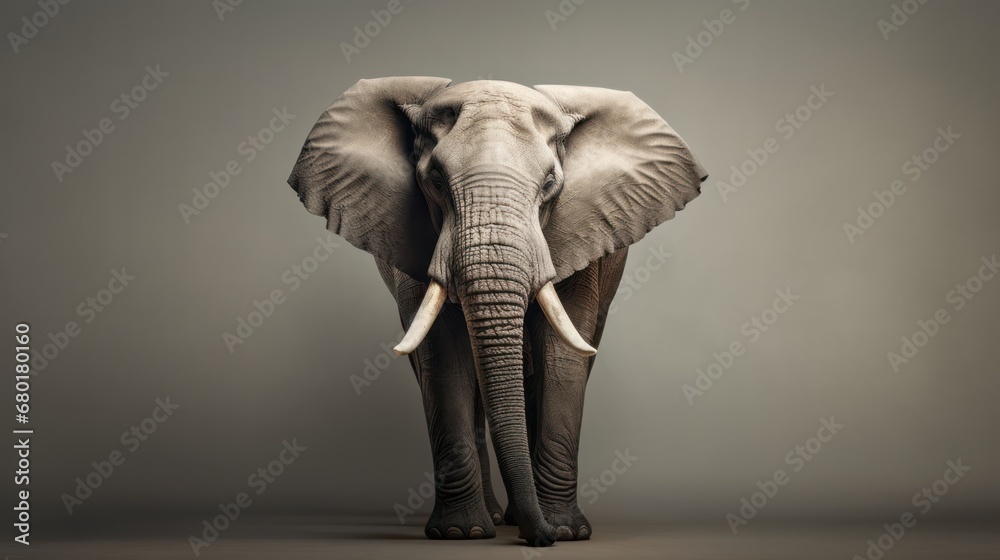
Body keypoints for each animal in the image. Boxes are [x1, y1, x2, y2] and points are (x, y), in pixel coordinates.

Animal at [286, 77, 707, 546]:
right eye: (435, 181)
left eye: (550, 184)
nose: (538, 539)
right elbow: (443, 356)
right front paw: (459, 532)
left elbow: (562, 357)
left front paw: (566, 531)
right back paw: (487, 520)